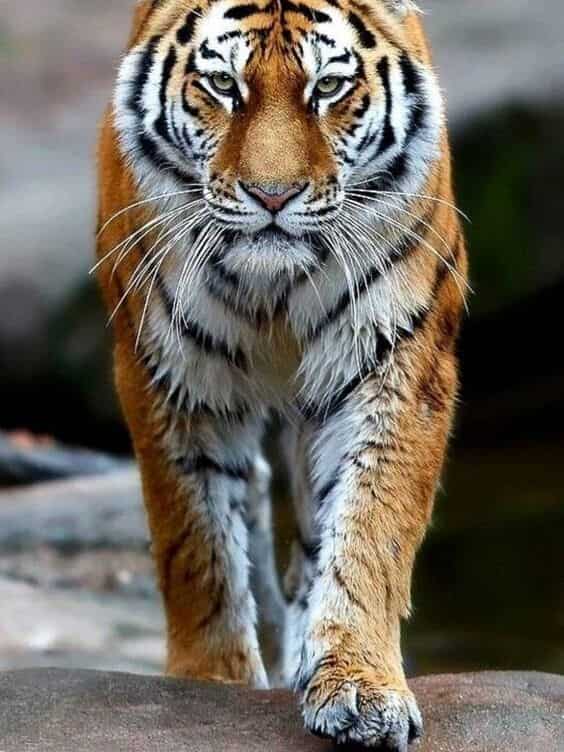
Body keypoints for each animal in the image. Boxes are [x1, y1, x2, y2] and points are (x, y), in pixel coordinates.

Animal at [96, 0, 467, 748]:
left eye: (327, 88)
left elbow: (370, 529)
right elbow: (196, 543)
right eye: (222, 85)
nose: (273, 197)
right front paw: (211, 682)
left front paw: (359, 686)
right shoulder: (169, 374)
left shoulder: (398, 360)